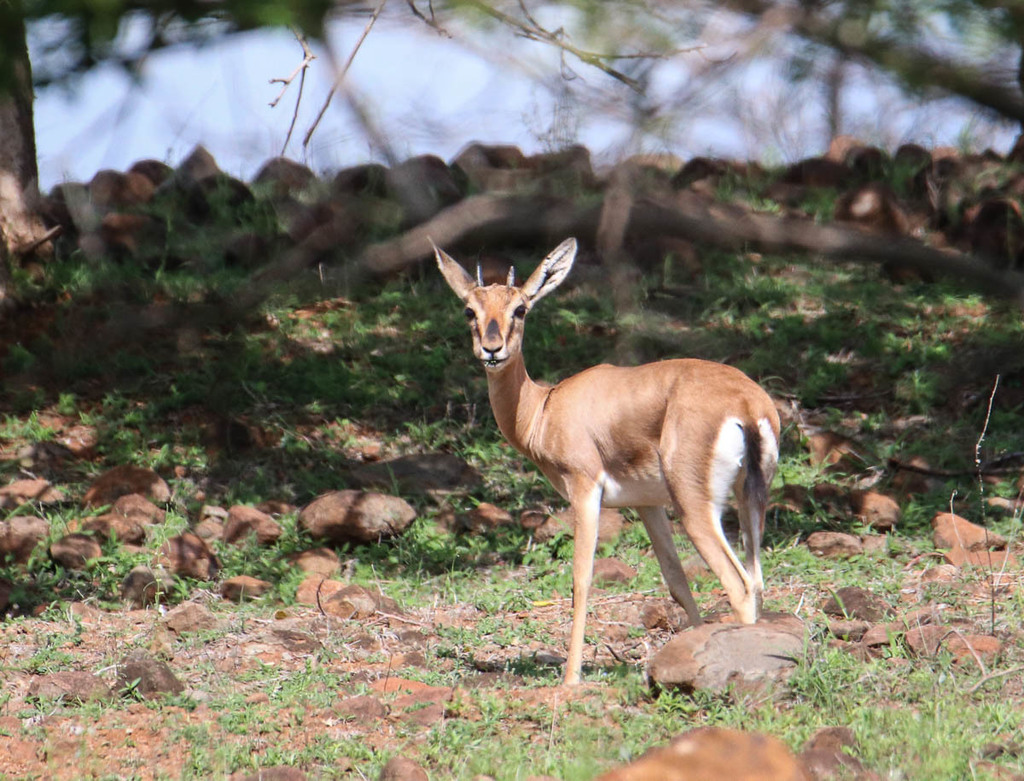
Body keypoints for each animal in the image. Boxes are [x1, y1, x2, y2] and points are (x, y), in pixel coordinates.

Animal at [435, 237, 780, 686]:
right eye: (469, 310)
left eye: (520, 308)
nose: (492, 350)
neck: (543, 408)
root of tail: (746, 404)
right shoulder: (647, 504)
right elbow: (676, 579)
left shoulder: (585, 490)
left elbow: (581, 579)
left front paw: (570, 679)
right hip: (751, 499)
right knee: (756, 580)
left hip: (695, 508)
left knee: (739, 585)